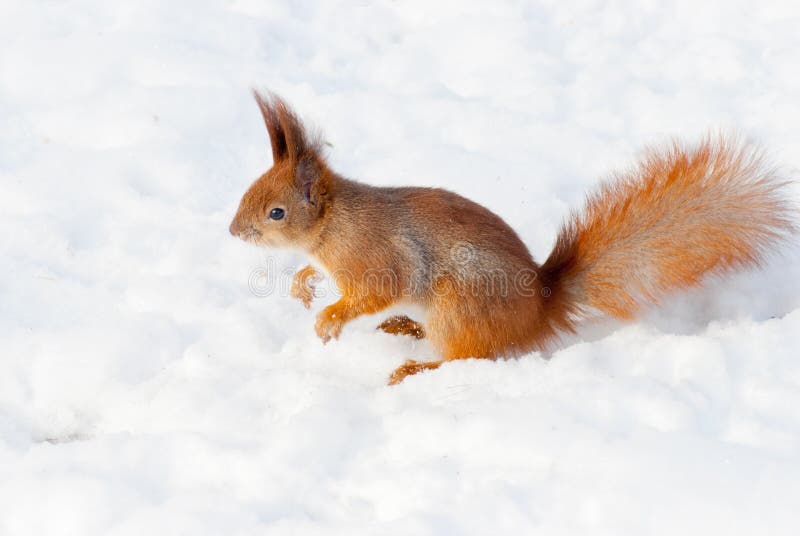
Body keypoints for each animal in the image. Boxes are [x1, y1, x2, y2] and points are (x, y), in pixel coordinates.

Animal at [230, 91, 794, 385]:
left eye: (276, 212)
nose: (234, 231)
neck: (333, 224)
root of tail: (538, 310)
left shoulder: (373, 255)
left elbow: (377, 289)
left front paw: (329, 319)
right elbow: (312, 271)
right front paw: (303, 283)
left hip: (459, 306)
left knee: (468, 357)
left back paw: (416, 366)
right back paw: (404, 329)